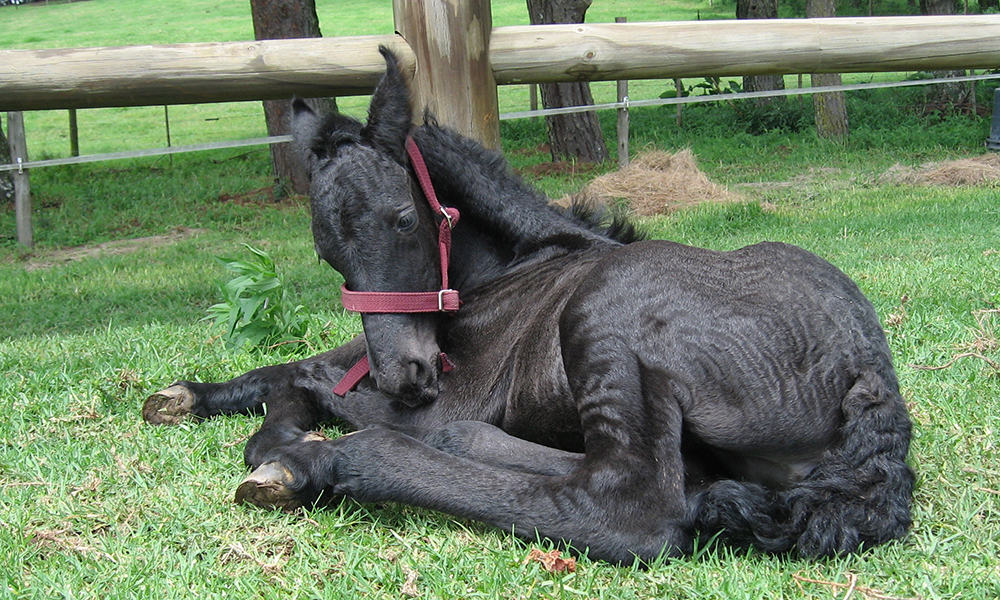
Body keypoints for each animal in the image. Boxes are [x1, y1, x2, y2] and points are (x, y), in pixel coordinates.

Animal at [142, 48, 914, 564]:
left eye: (403, 219)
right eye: (327, 253)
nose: (406, 375)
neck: (509, 267)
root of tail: (867, 375)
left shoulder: (449, 392)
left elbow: (305, 382)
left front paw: (283, 452)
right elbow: (291, 368)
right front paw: (188, 395)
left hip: (604, 315)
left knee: (628, 506)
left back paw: (339, 462)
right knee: (679, 481)